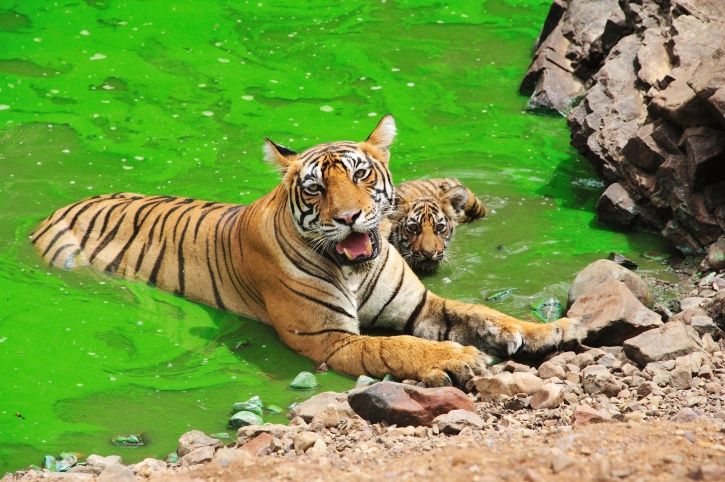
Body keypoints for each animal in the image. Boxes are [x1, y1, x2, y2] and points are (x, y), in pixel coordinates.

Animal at [31, 115, 583, 388]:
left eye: (361, 175)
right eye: (316, 188)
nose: (349, 217)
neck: (355, 269)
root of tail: (53, 210)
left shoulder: (422, 305)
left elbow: (480, 312)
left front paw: (549, 329)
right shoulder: (330, 339)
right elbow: (396, 346)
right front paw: (455, 360)